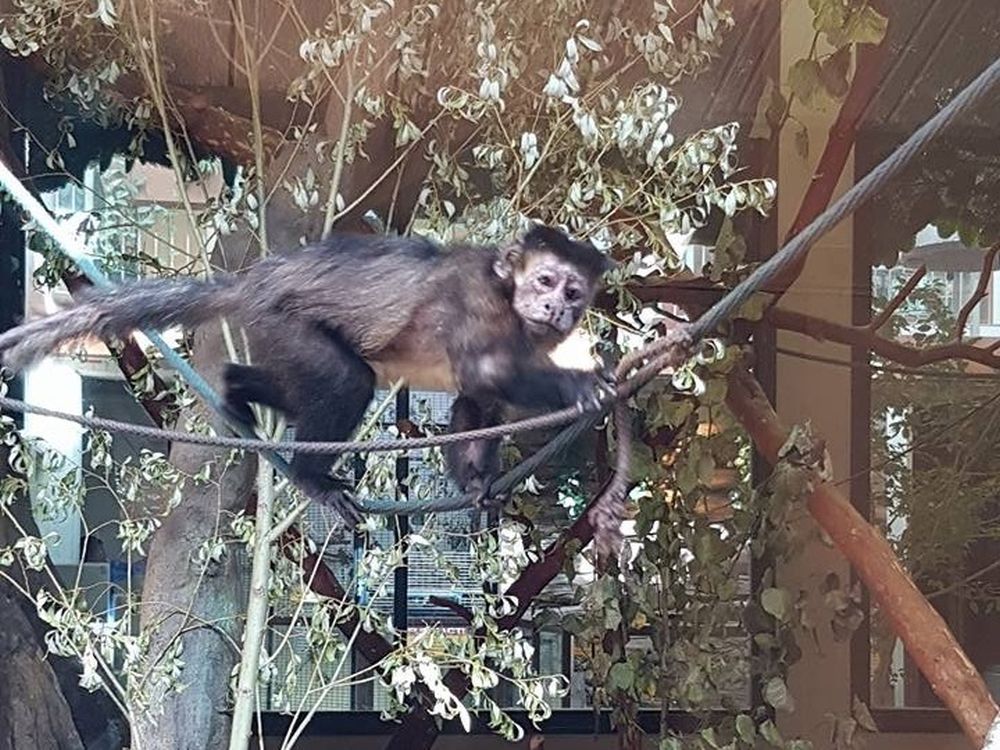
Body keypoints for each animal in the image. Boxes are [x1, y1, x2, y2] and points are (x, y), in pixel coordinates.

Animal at [0, 224, 616, 525]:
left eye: (573, 292)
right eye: (544, 281)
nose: (556, 309)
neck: (509, 296)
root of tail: (251, 281)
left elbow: (477, 402)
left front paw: (477, 484)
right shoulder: (476, 294)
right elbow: (487, 372)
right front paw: (584, 385)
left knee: (302, 388)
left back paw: (236, 392)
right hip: (280, 320)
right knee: (348, 381)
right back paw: (309, 476)